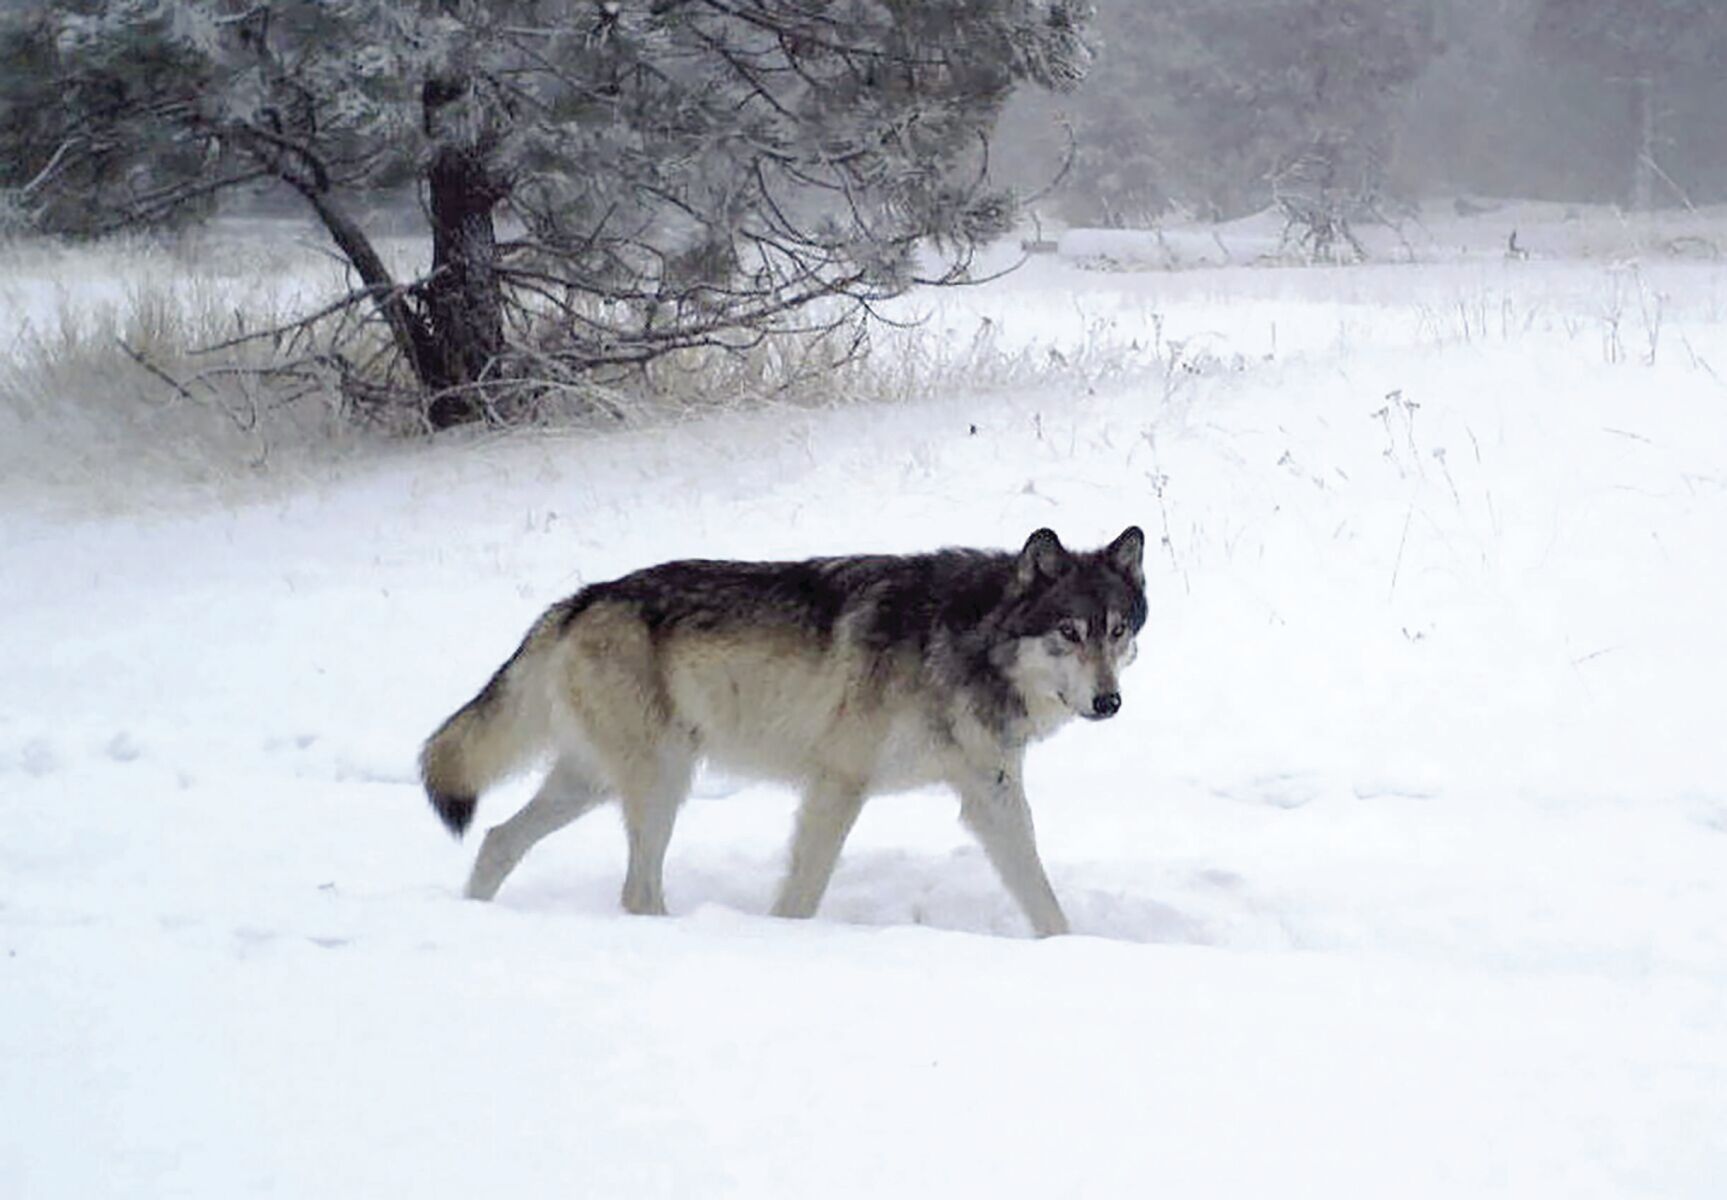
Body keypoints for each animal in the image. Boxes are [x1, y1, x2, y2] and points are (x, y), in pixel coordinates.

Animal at [420, 526, 1146, 937]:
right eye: (1068, 632)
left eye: (1117, 631)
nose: (1108, 701)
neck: (963, 641)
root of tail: (578, 601)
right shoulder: (839, 784)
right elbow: (802, 892)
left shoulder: (992, 796)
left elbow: (1042, 897)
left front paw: (1071, 950)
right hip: (661, 783)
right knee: (635, 891)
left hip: (593, 784)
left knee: (497, 840)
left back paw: (475, 915)